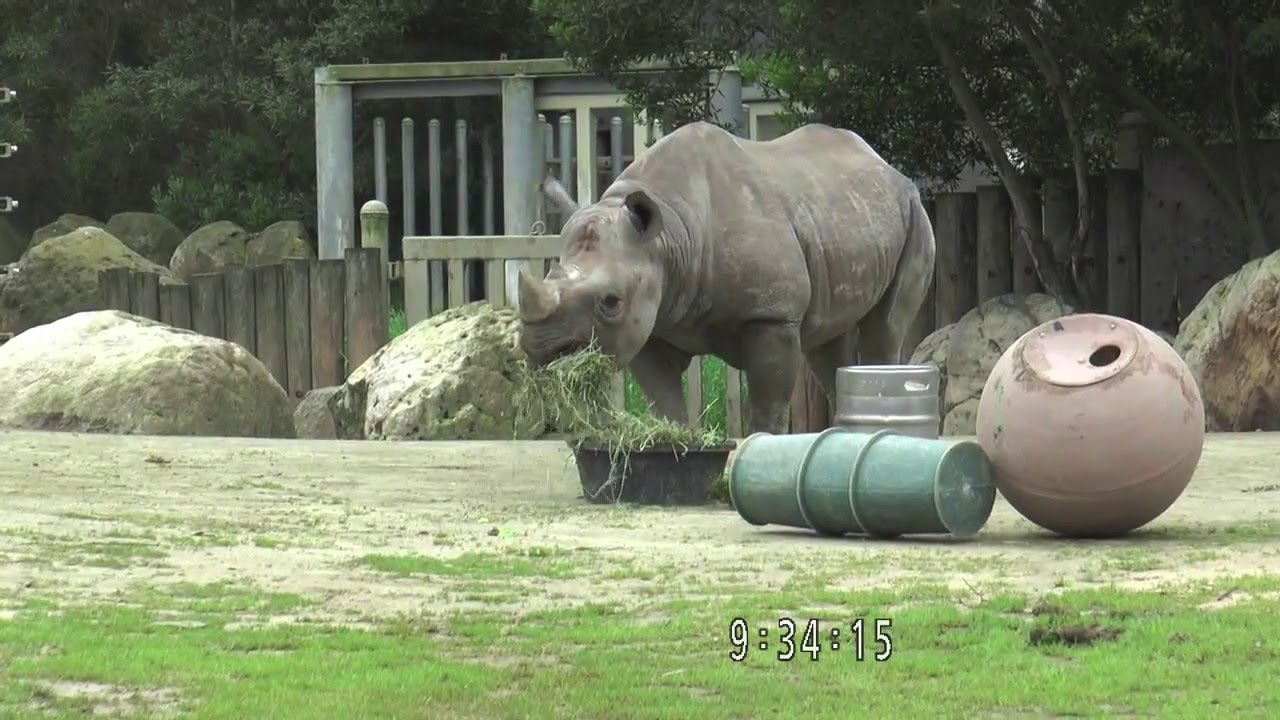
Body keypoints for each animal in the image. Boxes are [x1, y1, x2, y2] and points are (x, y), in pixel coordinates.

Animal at [516, 121, 936, 435]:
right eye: (550, 272)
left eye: (611, 302)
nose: (540, 349)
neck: (668, 236)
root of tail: (887, 166)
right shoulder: (651, 322)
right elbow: (665, 400)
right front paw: (677, 441)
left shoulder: (772, 316)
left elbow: (768, 403)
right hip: (841, 212)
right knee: (827, 343)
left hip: (914, 212)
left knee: (886, 327)